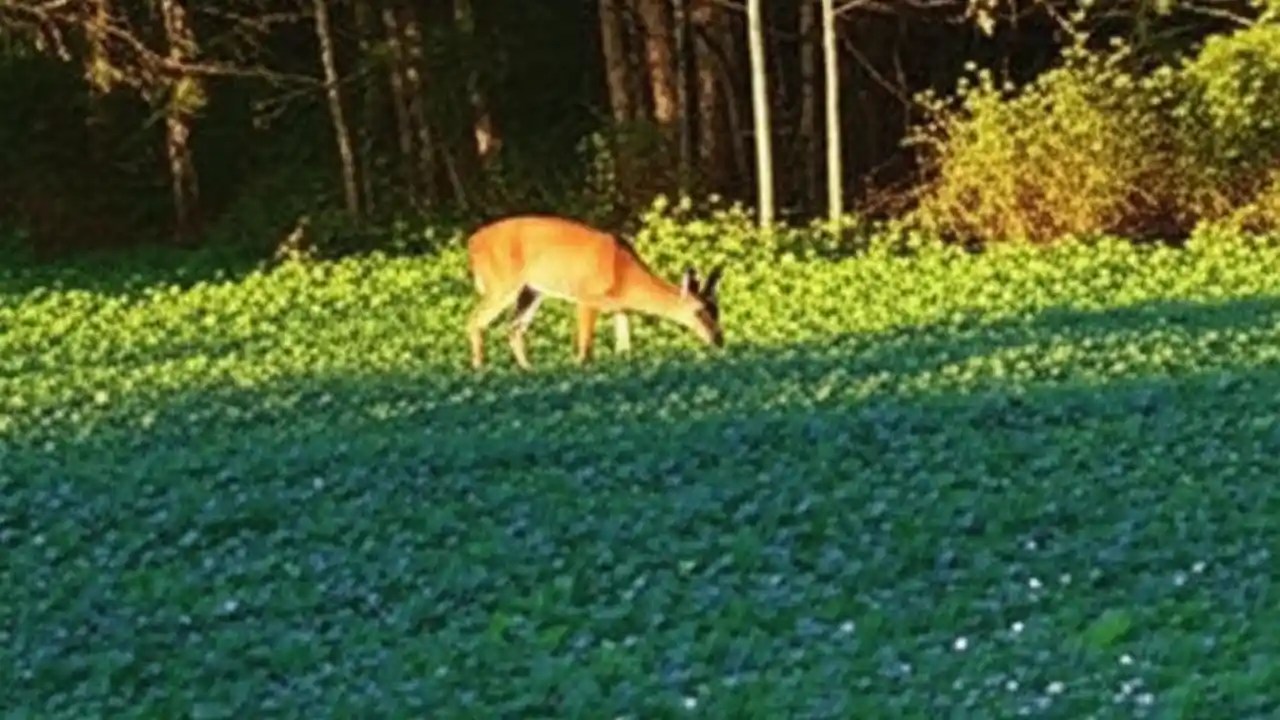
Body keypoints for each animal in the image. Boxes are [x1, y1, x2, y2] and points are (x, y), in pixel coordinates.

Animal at [464, 214, 724, 370]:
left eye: (717, 310)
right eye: (699, 311)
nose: (719, 340)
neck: (623, 275)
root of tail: (472, 243)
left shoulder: (620, 308)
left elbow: (624, 347)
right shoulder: (586, 297)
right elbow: (585, 349)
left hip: (532, 291)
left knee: (514, 328)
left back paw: (528, 370)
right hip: (501, 283)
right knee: (475, 320)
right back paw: (480, 369)